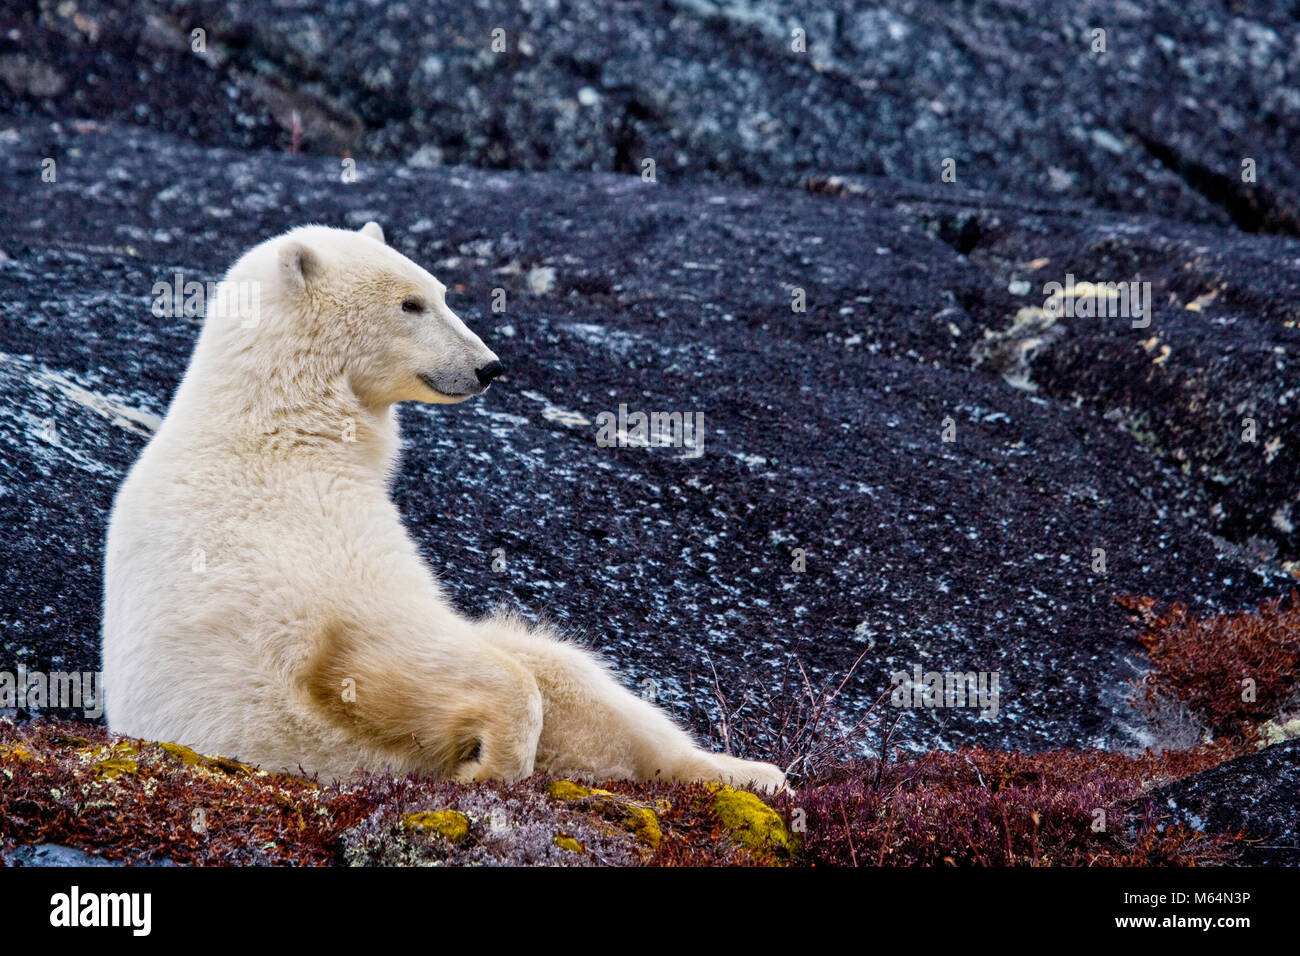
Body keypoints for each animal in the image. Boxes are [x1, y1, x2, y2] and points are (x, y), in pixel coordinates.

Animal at [102, 222, 786, 792]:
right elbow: (383, 640)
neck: (282, 426)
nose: (490, 366)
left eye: (440, 291)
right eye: (411, 304)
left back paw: (751, 772)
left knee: (569, 672)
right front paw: (493, 765)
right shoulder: (292, 535)